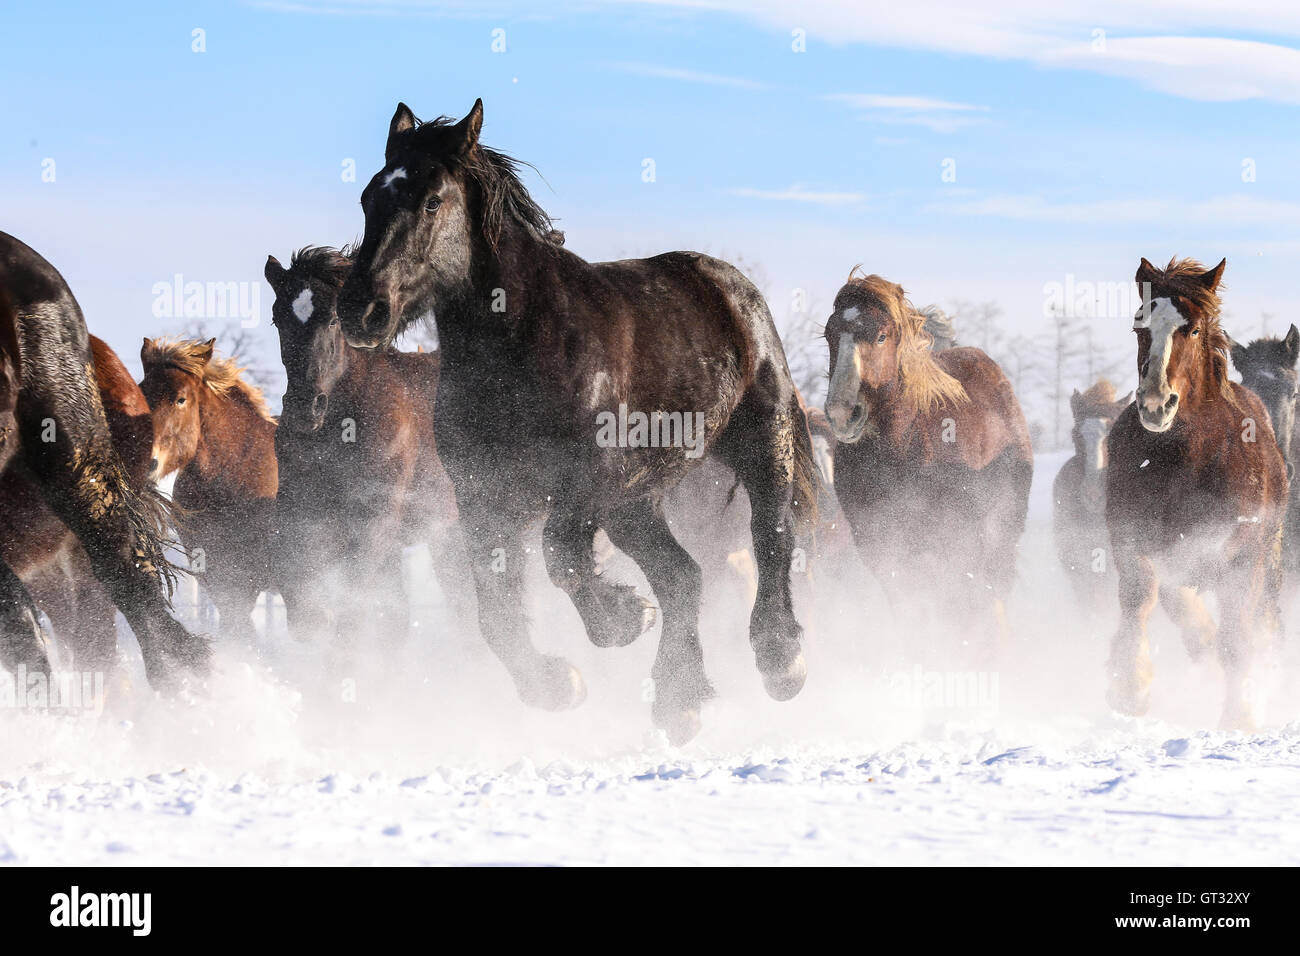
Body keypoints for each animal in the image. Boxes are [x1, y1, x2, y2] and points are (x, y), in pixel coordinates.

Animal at [263, 246, 473, 647]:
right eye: (277, 318)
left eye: (332, 318)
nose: (303, 408)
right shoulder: (305, 519)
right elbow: (306, 603)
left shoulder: (376, 520)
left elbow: (357, 607)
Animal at [336, 100, 819, 744]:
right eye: (369, 197)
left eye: (432, 201)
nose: (360, 310)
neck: (522, 345)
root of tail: (732, 287)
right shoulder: (484, 496)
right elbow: (494, 608)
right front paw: (557, 684)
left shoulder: (588, 484)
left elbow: (560, 554)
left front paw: (620, 619)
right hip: (638, 502)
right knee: (683, 575)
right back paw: (680, 700)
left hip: (758, 443)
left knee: (771, 536)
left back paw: (780, 661)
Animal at [822, 269, 1033, 652]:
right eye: (829, 335)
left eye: (881, 335)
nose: (843, 414)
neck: (901, 450)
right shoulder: (882, 548)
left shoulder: (954, 543)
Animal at [1105, 257, 1287, 729]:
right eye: (1139, 326)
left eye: (1193, 329)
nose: (1155, 405)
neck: (1187, 458)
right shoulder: (1132, 539)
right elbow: (1142, 599)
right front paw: (1130, 688)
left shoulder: (1243, 558)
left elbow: (1237, 637)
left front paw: (1238, 717)